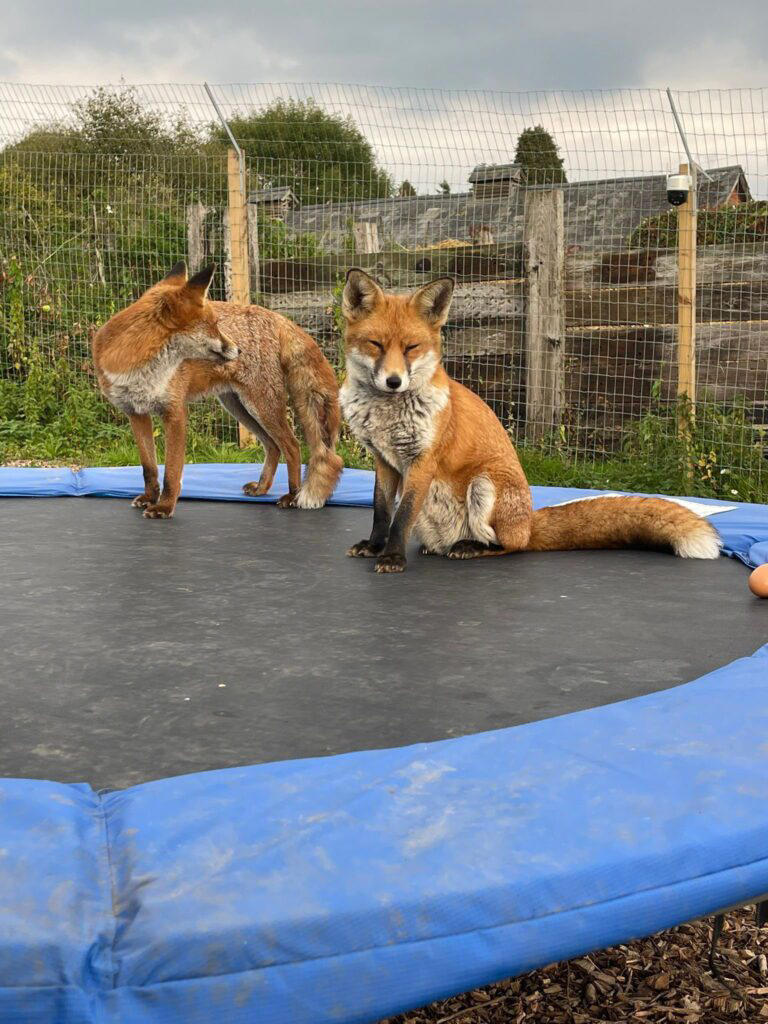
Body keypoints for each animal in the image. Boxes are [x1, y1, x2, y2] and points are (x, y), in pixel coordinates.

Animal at [92, 261, 343, 519]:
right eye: (213, 326)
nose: (238, 350)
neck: (135, 365)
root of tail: (274, 315)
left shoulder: (175, 412)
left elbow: (172, 471)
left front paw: (164, 506)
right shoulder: (136, 413)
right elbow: (149, 468)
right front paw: (150, 498)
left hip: (262, 406)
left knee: (292, 446)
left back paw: (292, 496)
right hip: (240, 407)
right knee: (273, 446)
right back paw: (262, 488)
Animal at [339, 268, 721, 574]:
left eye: (411, 347)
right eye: (375, 344)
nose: (393, 382)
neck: (386, 412)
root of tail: (530, 521)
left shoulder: (422, 460)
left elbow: (401, 518)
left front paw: (393, 557)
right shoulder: (384, 459)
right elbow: (382, 511)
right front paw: (375, 546)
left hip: (485, 485)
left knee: (511, 546)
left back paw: (471, 547)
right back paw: (443, 547)